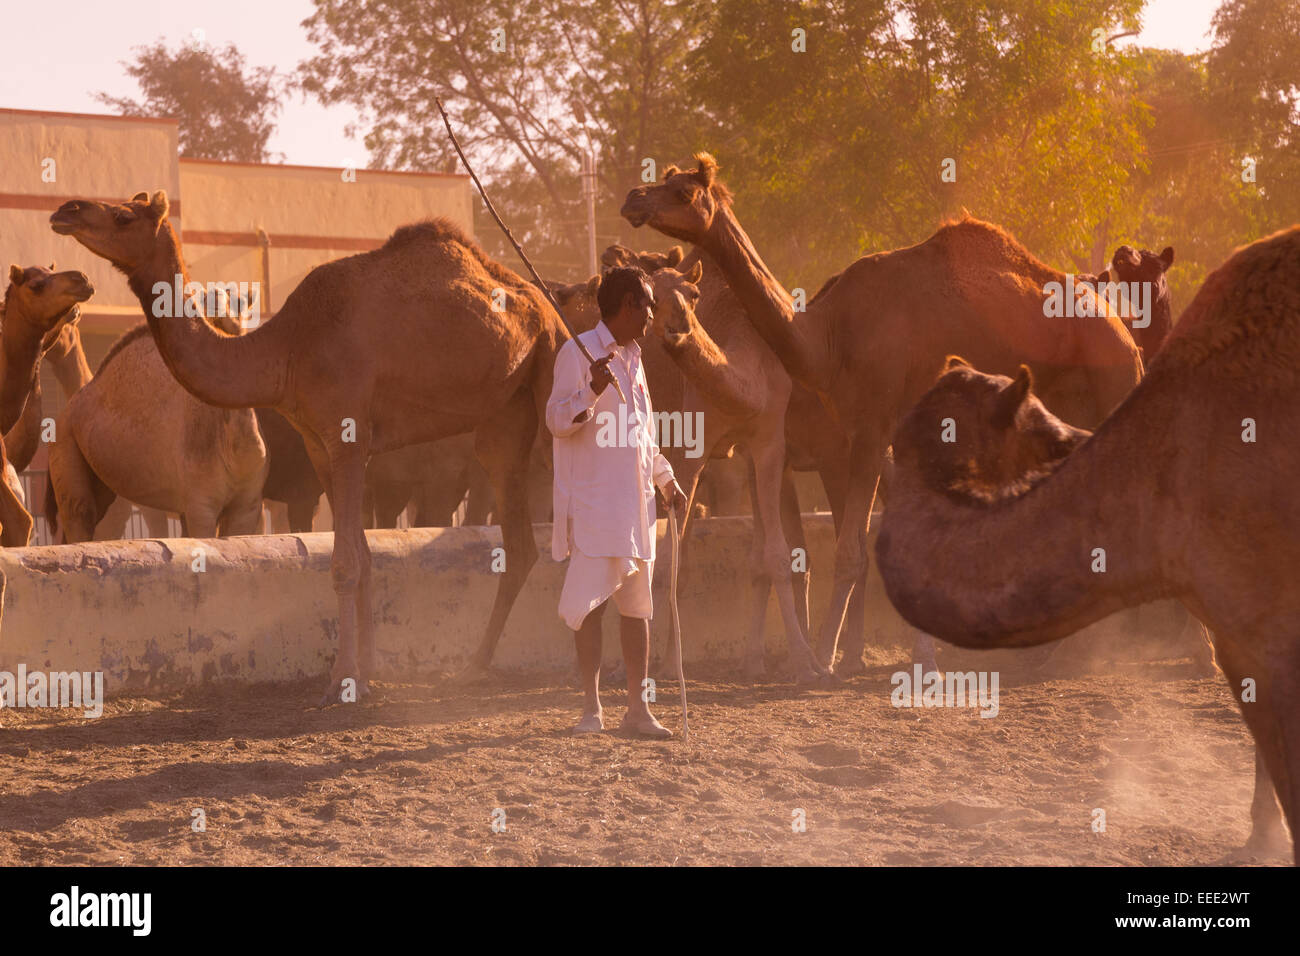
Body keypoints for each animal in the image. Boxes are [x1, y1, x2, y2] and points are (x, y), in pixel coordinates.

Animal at [51, 192, 563, 697]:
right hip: (505, 415)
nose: (66, 211)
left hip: (552, 370)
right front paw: (367, 671)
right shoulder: (319, 445)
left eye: (124, 215)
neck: (288, 350)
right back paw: (475, 667)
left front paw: (343, 678)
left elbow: (345, 562)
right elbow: (363, 555)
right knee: (520, 541)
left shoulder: (348, 435)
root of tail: (545, 305)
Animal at [622, 154, 1142, 672]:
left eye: (684, 193)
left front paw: (824, 659)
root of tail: (1127, 335)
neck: (828, 335)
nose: (632, 199)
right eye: (666, 178)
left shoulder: (867, 430)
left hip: (1112, 386)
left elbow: (850, 551)